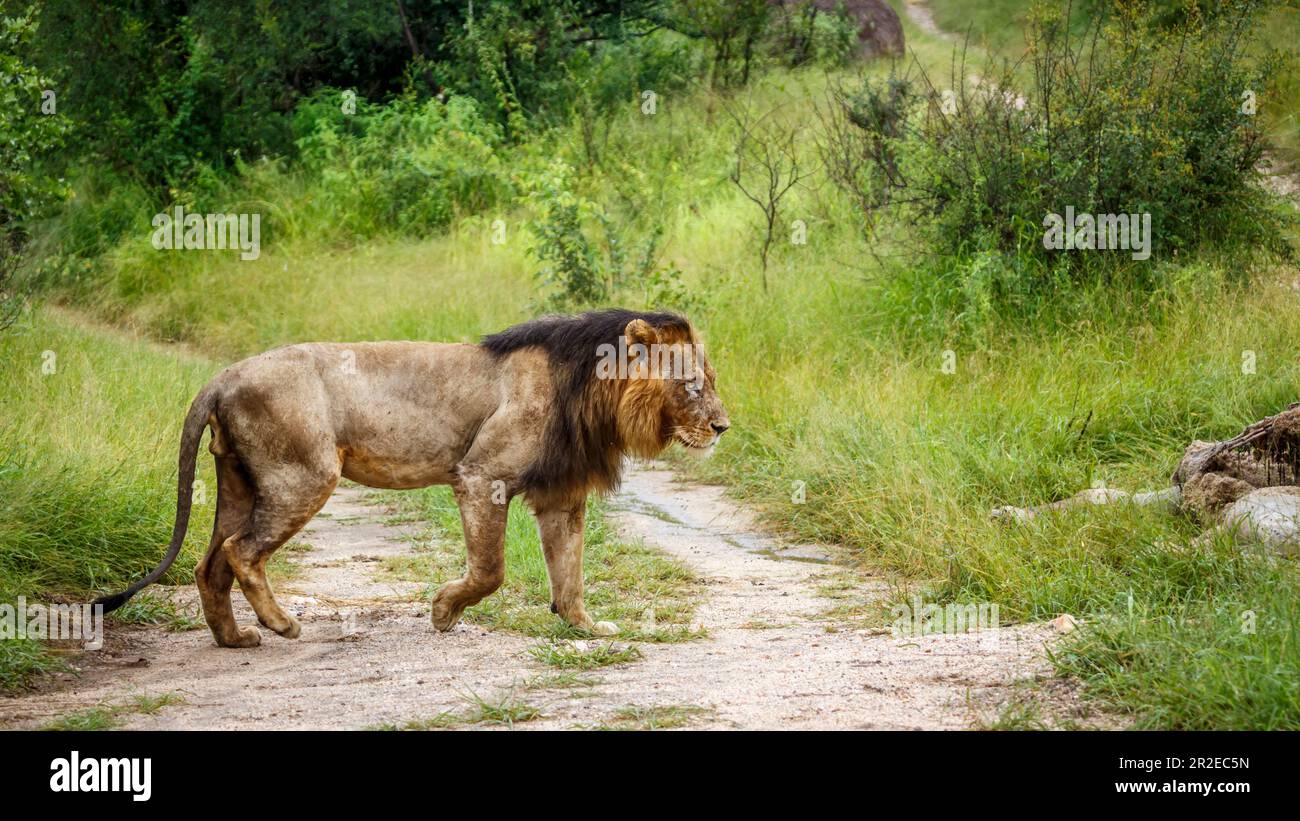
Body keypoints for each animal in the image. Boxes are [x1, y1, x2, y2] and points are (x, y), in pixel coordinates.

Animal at [94, 309, 730, 647]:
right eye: (693, 385)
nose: (723, 426)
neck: (591, 392)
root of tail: (222, 377)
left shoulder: (562, 497)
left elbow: (569, 574)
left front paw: (588, 628)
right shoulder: (481, 475)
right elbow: (491, 570)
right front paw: (444, 612)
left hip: (237, 482)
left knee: (209, 563)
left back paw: (234, 639)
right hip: (304, 475)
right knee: (240, 550)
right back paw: (281, 625)